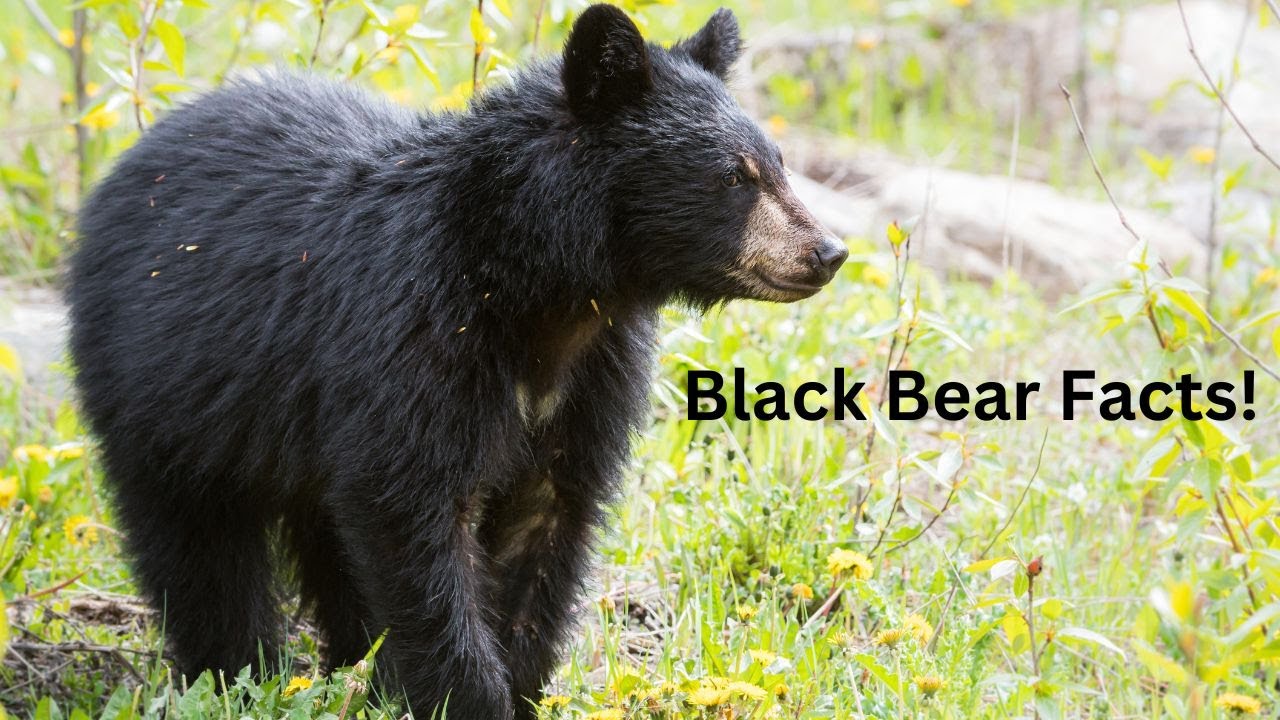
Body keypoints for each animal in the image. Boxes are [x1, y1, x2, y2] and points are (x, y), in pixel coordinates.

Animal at [67, 5, 846, 718]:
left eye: (778, 163)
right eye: (733, 177)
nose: (828, 251)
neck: (542, 291)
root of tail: (131, 160)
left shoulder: (593, 375)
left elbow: (546, 520)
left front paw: (514, 688)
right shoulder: (413, 333)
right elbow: (412, 512)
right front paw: (467, 697)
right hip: (161, 386)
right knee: (197, 542)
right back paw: (237, 671)